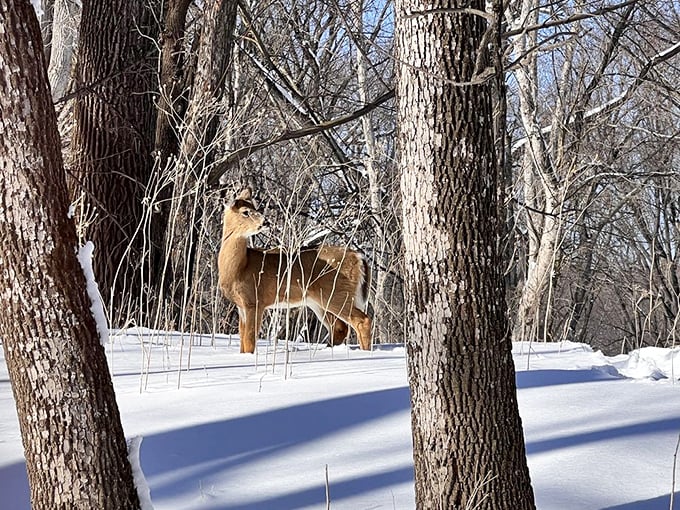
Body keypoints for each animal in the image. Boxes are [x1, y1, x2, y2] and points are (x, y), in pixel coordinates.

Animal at [218, 188, 372, 354]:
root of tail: (359, 257)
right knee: (339, 327)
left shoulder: (255, 300)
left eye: (256, 209)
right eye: (245, 212)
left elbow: (249, 341)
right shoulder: (241, 305)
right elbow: (242, 341)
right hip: (319, 301)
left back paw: (365, 352)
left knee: (362, 320)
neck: (239, 268)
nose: (265, 222)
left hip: (337, 292)